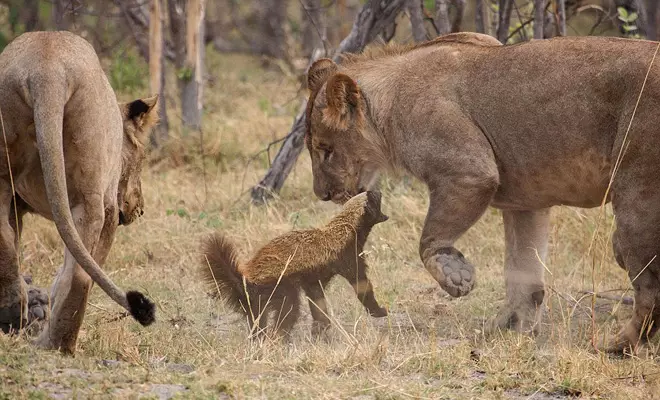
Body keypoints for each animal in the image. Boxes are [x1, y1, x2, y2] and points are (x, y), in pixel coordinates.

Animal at [0, 32, 159, 354]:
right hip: (91, 194)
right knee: (79, 275)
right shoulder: (110, 208)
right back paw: (57, 344)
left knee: (5, 240)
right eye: (142, 158)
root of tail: (46, 68)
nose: (140, 209)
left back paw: (13, 314)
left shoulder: (16, 205)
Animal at [200, 191, 386, 338]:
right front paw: (379, 311)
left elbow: (317, 300)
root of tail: (245, 279)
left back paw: (259, 339)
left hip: (256, 302)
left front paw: (320, 328)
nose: (377, 189)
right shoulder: (348, 257)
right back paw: (279, 338)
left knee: (257, 321)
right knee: (288, 310)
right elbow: (361, 285)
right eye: (374, 198)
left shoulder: (313, 279)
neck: (346, 227)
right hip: (280, 287)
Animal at [304, 32, 660, 354]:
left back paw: (617, 345)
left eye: (325, 150)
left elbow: (429, 240)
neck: (387, 108)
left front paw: (456, 276)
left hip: (637, 197)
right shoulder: (526, 202)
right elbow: (522, 271)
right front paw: (508, 328)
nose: (322, 194)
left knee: (648, 288)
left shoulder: (470, 172)